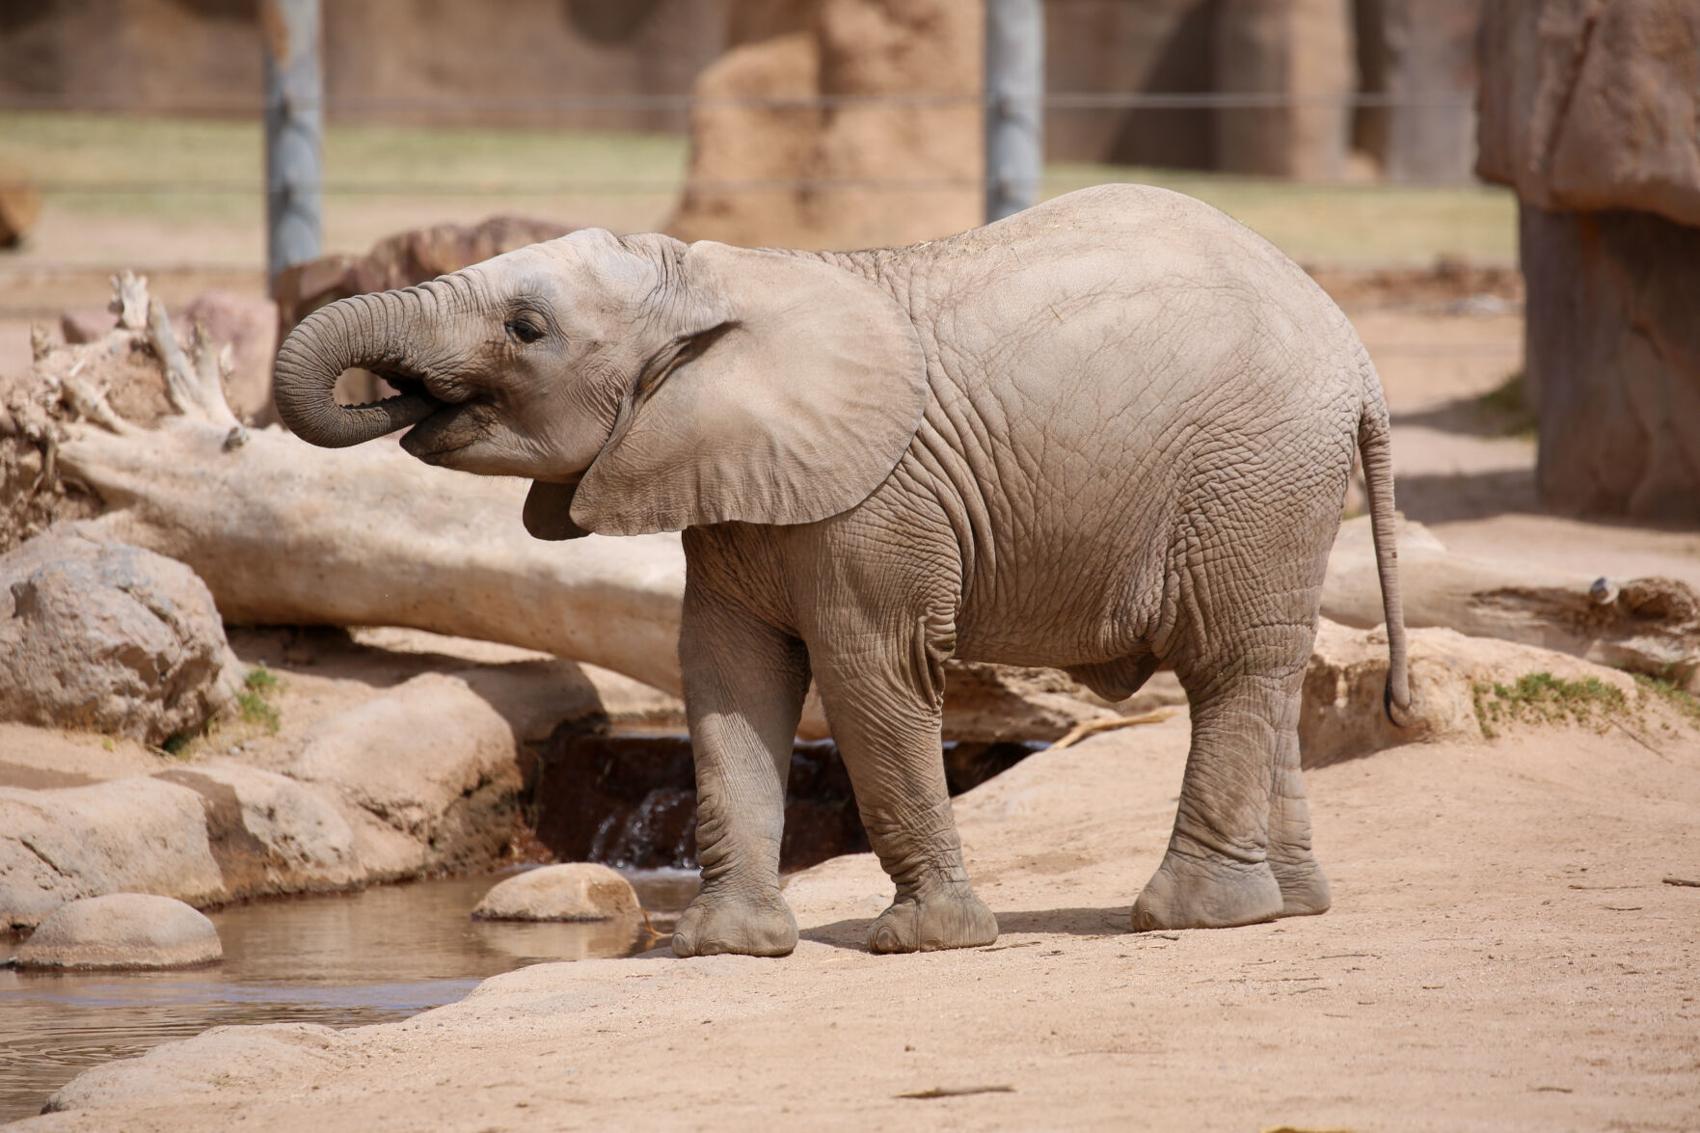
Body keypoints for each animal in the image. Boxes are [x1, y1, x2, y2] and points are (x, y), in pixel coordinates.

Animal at [273, 183, 1410, 958]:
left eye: (525, 329)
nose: (400, 401)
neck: (712, 281)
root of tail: (1356, 358)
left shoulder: (874, 504)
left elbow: (871, 674)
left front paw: (924, 942)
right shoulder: (730, 491)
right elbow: (726, 676)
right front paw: (722, 948)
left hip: (1251, 471)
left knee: (1227, 664)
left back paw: (1187, 915)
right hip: (1276, 485)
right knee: (1271, 664)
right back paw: (1287, 905)